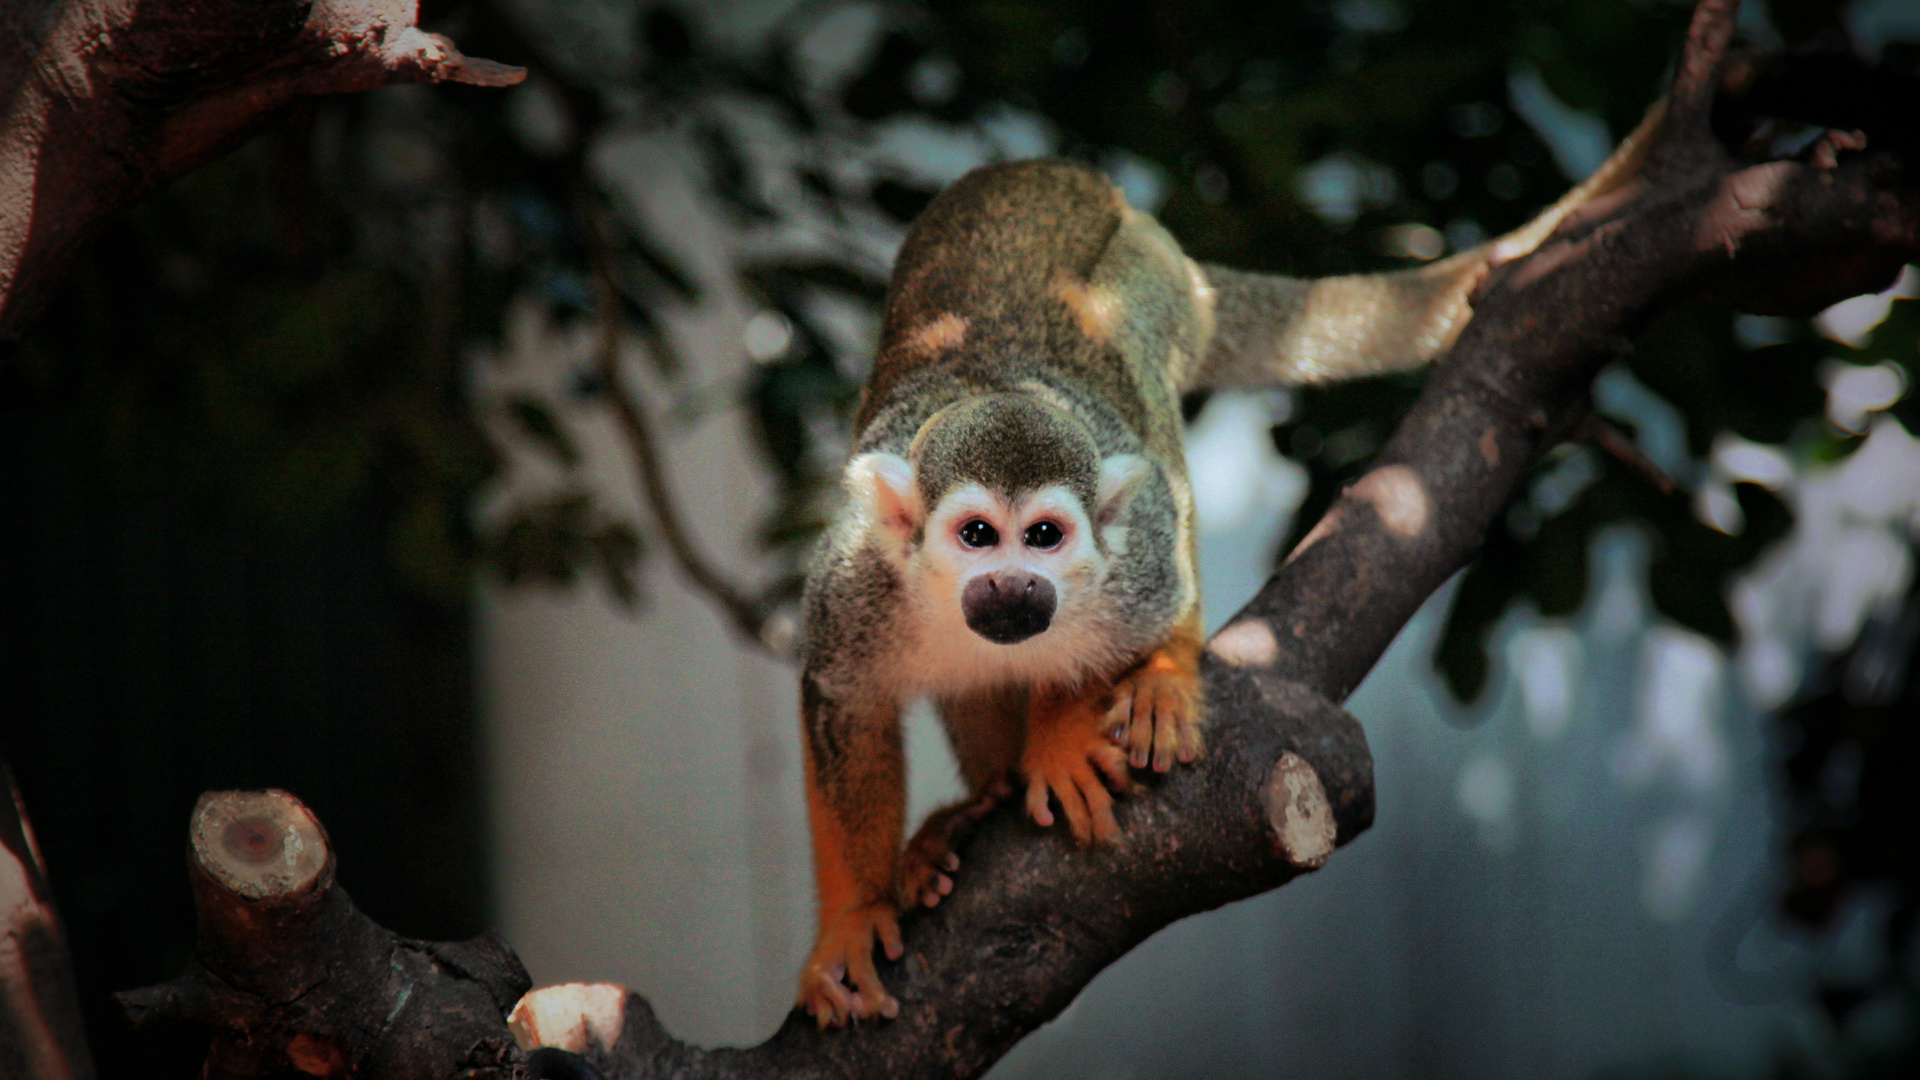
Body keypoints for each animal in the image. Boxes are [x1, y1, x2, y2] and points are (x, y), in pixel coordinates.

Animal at [794, 107, 1663, 1028]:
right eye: (975, 536)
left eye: (1043, 537)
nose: (1016, 588)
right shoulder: (856, 583)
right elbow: (841, 699)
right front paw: (852, 922)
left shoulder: (1126, 564)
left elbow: (1149, 563)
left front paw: (1064, 730)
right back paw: (974, 807)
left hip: (1152, 280)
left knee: (1143, 400)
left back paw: (1154, 679)